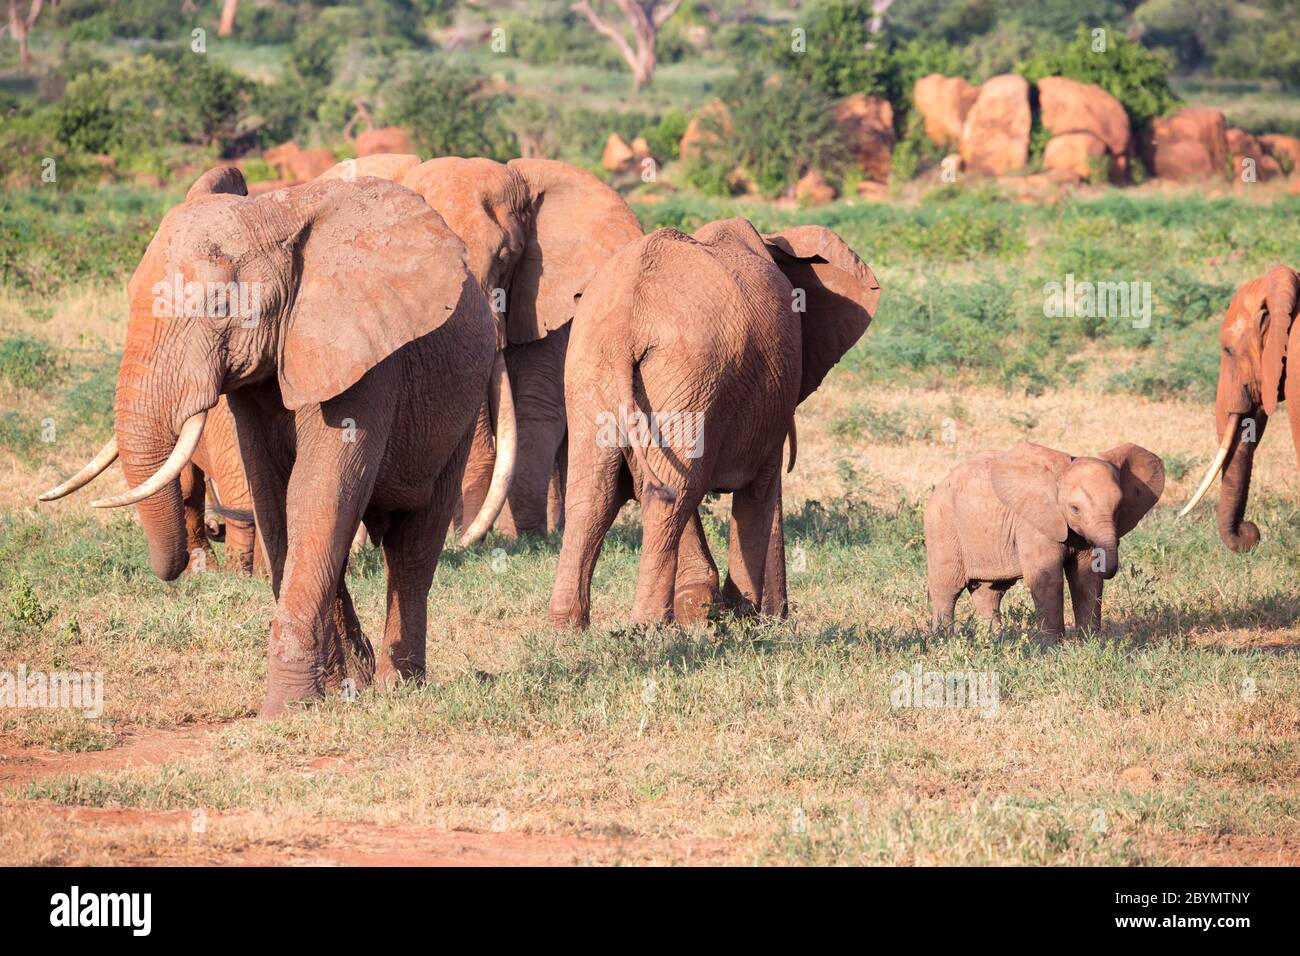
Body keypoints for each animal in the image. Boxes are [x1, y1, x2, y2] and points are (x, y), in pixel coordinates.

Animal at [37, 165, 513, 715]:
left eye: (221, 305)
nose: (179, 568)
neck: (275, 213)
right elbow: (275, 498)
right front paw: (329, 692)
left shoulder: (366, 354)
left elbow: (320, 494)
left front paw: (285, 710)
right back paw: (361, 676)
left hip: (460, 404)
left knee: (413, 546)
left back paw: (399, 684)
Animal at [547, 219, 881, 627]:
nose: (779, 614)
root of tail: (629, 320)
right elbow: (760, 488)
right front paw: (746, 617)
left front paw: (708, 607)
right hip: (689, 370)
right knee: (672, 493)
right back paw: (648, 625)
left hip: (595, 365)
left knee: (597, 491)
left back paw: (565, 628)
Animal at [925, 442, 1164, 637]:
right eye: (1074, 509)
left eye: (1119, 507)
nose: (1106, 561)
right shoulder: (1034, 524)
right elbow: (1048, 580)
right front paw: (1052, 648)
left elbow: (1086, 579)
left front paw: (1090, 643)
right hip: (943, 527)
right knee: (946, 588)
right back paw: (944, 640)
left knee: (990, 591)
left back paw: (996, 640)